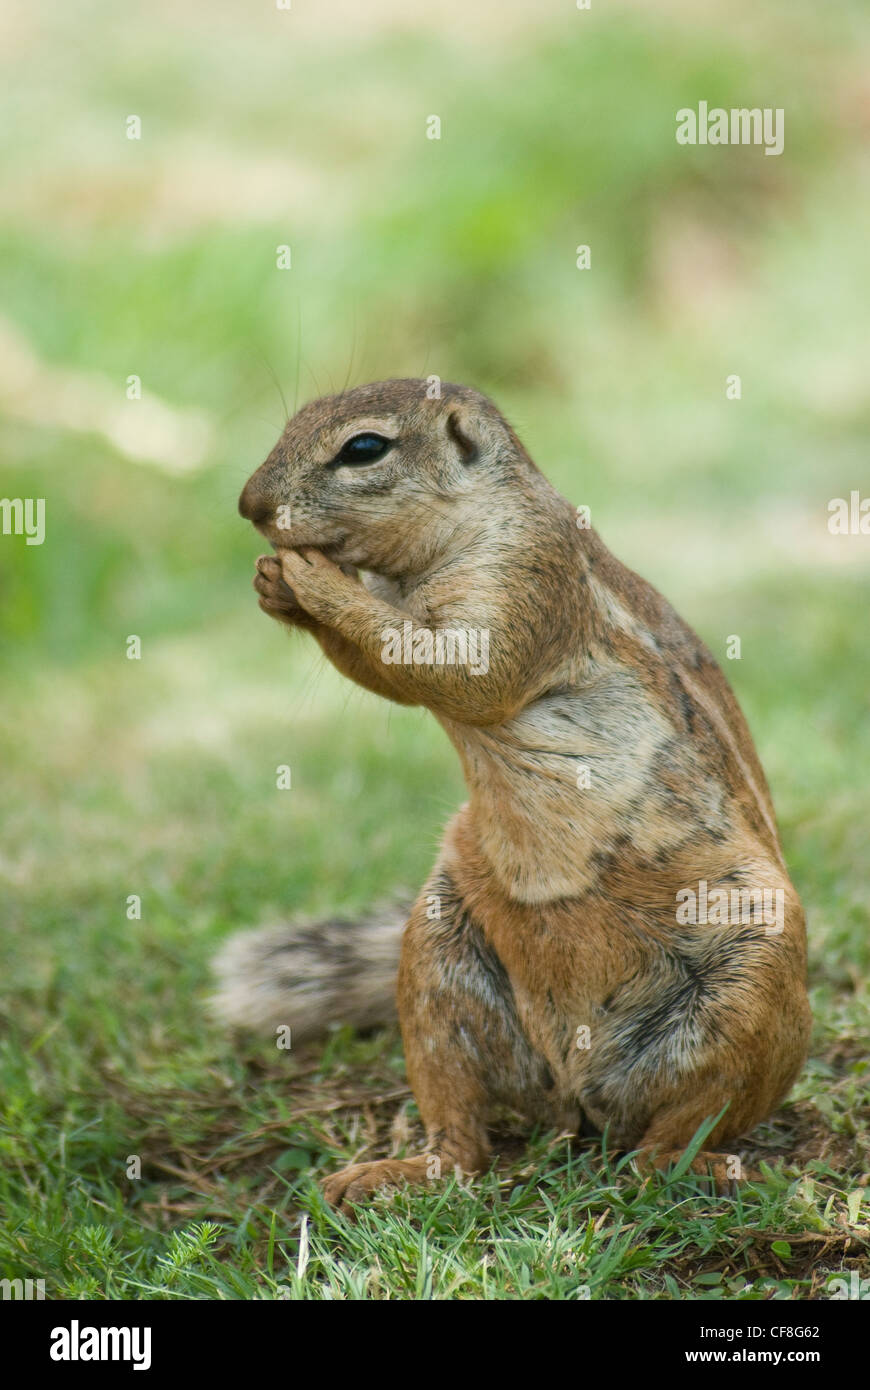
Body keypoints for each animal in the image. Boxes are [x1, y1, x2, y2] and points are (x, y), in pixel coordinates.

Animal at [213, 378, 811, 1207]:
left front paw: (310, 579)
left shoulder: (525, 576)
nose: (250, 506)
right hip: (439, 961)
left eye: (364, 448)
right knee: (465, 1142)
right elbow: (394, 671)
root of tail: (582, 1091)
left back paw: (701, 1166)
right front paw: (275, 584)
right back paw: (390, 1175)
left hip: (753, 994)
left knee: (673, 1135)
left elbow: (456, 672)